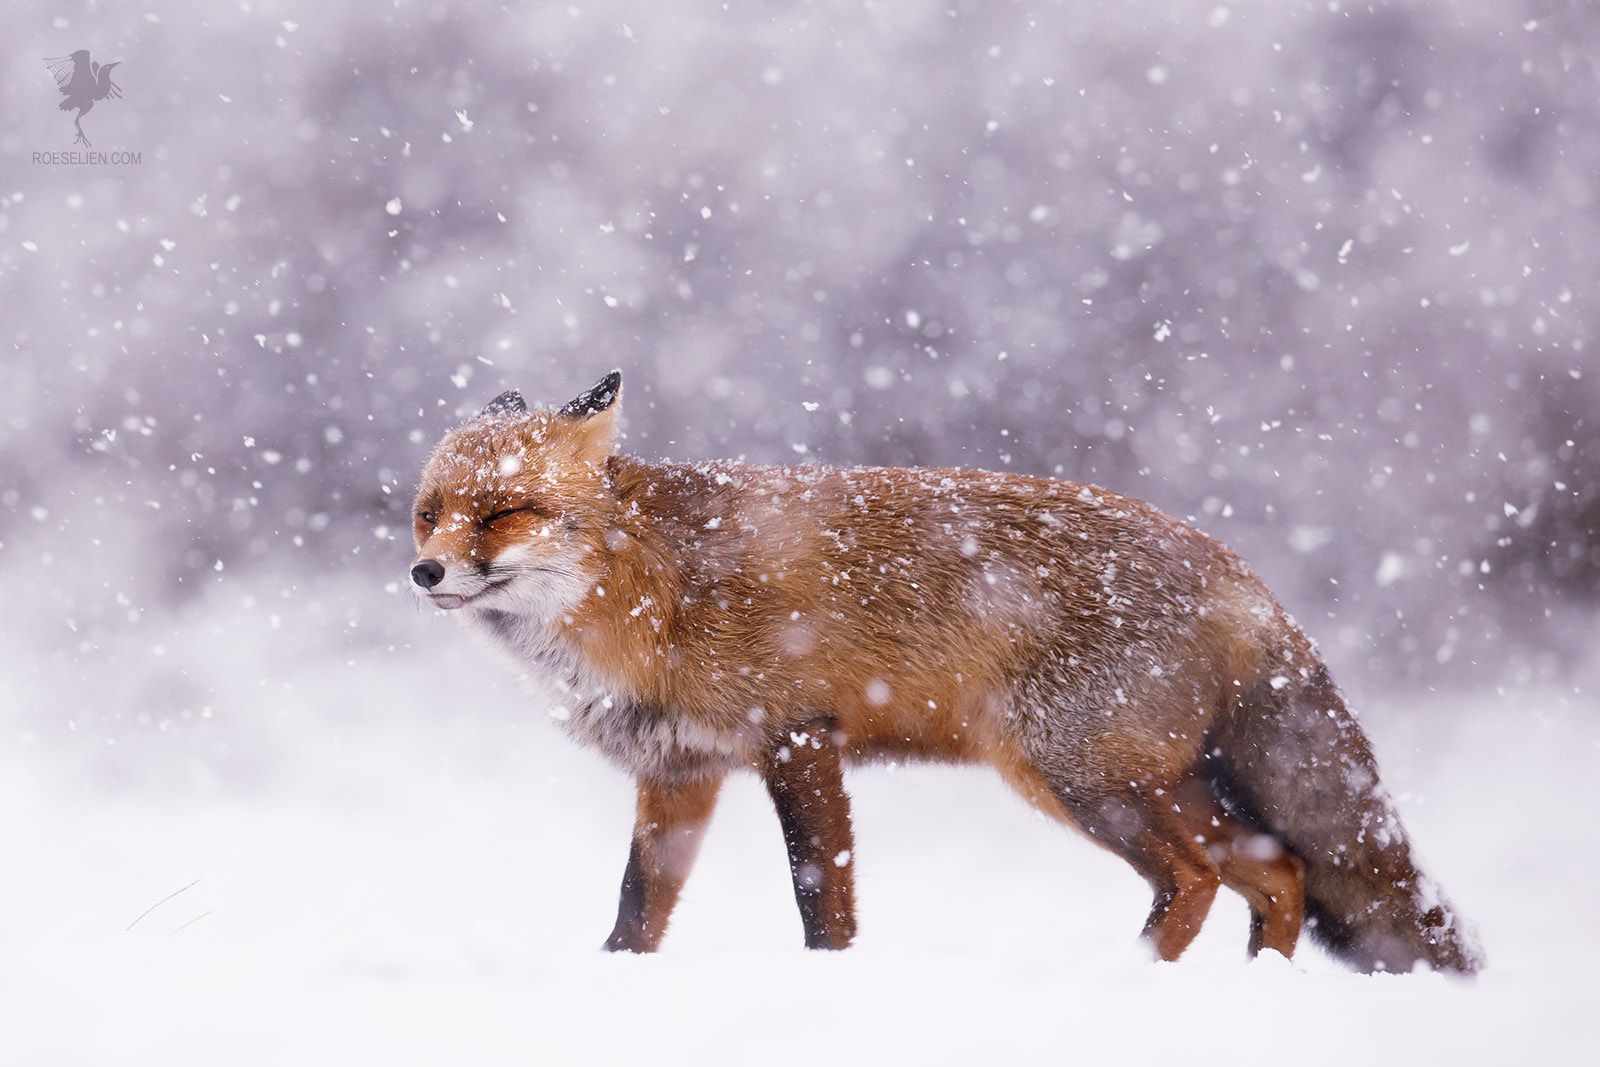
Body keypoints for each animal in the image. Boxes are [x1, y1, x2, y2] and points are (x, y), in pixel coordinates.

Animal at [409, 370, 1482, 973]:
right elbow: (637, 912)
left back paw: (1131, 983)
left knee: (1199, 878)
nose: (423, 572)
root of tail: (1240, 572)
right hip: (1134, 780)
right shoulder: (681, 771)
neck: (652, 592)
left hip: (1081, 779)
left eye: (503, 512)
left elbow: (821, 898)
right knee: (1280, 869)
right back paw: (1253, 989)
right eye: (430, 513)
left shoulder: (798, 738)